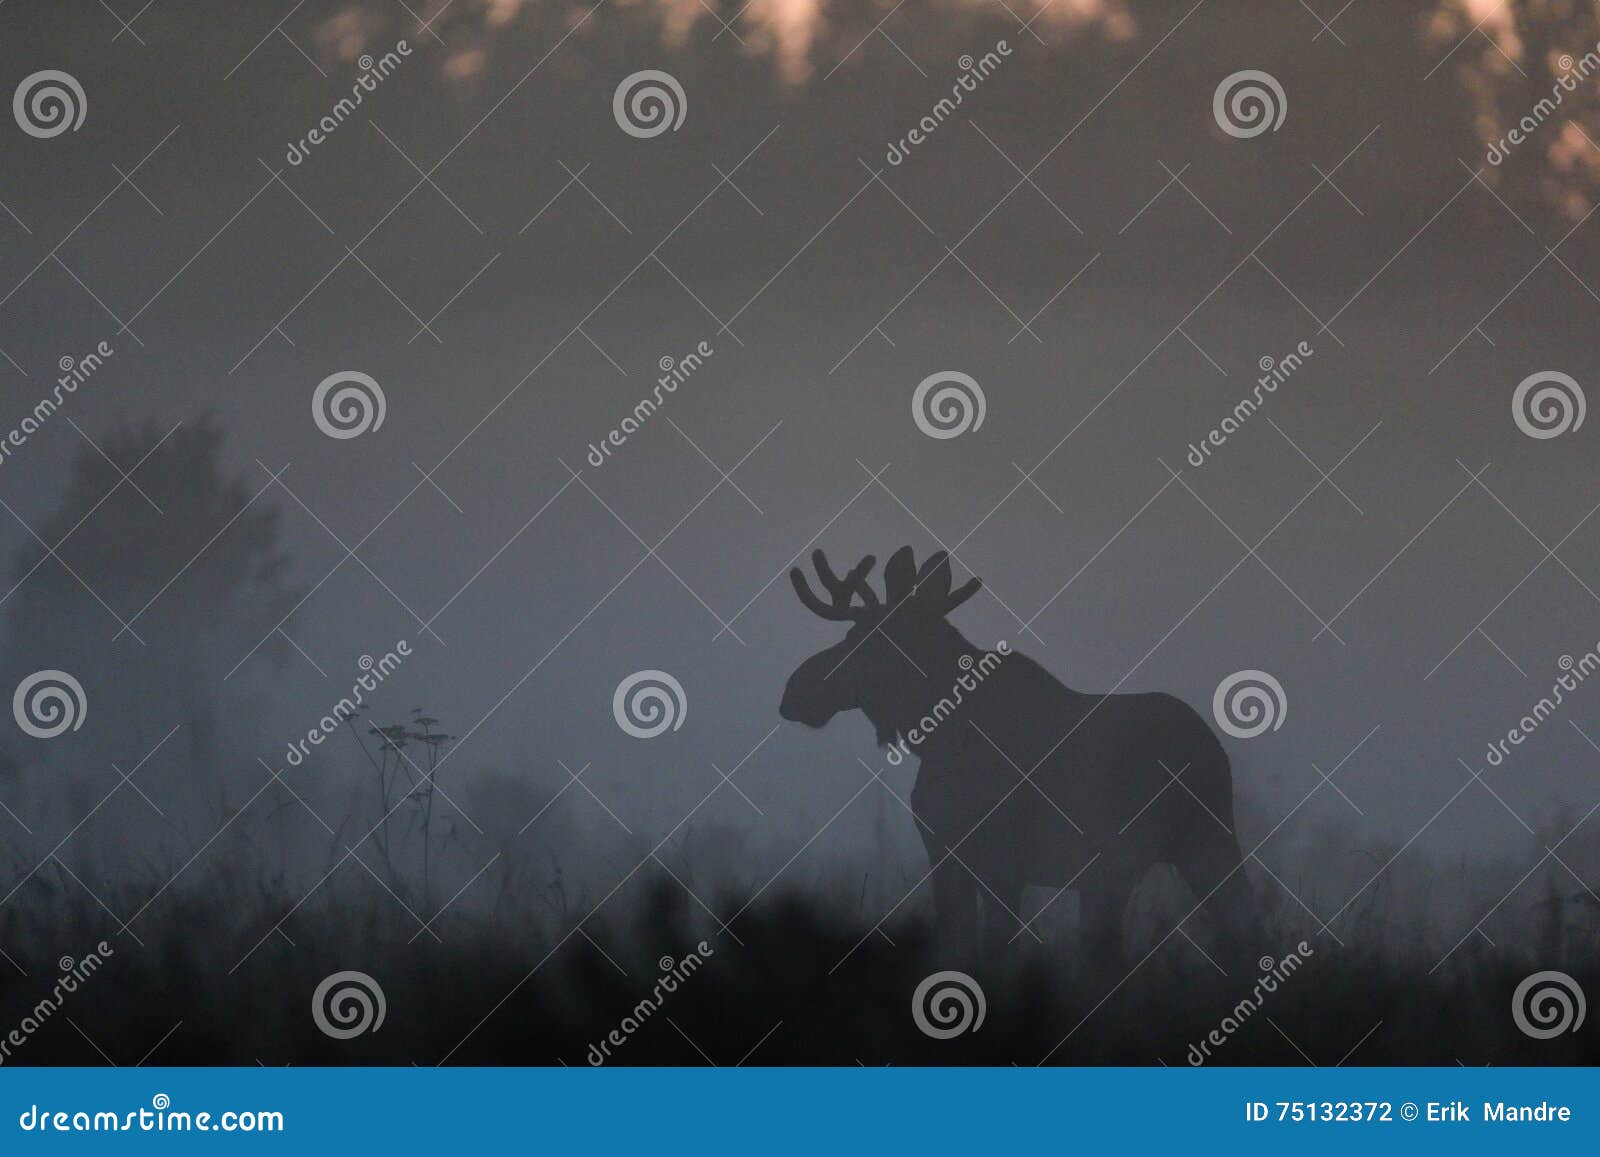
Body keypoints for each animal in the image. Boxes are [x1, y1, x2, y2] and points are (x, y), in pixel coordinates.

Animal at [779, 547, 1254, 969]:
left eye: (863, 641)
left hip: (1199, 844)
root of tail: (1215, 749)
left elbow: (995, 949)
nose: (794, 689)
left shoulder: (1002, 859)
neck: (936, 738)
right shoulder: (943, 851)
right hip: (1122, 870)